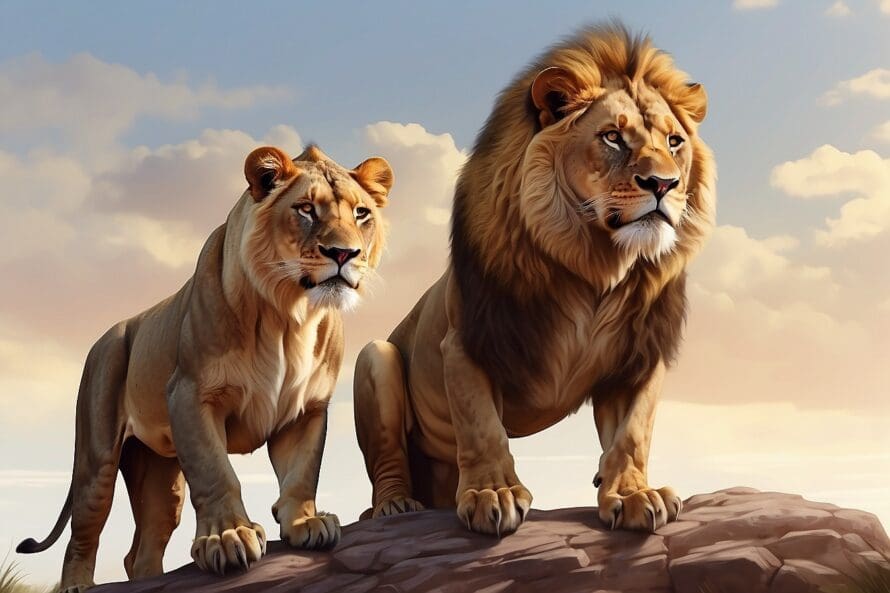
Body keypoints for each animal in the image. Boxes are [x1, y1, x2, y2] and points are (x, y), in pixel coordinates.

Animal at [16, 145, 394, 592]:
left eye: (361, 213)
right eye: (305, 209)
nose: (344, 254)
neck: (290, 317)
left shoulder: (307, 410)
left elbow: (303, 470)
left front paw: (306, 522)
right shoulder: (190, 394)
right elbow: (216, 471)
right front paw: (228, 537)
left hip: (160, 477)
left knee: (140, 550)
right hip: (97, 457)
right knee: (85, 528)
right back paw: (77, 583)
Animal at [354, 24, 715, 536]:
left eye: (675, 142)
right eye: (612, 138)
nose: (663, 184)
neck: (596, 265)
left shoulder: (641, 356)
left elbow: (633, 432)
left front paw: (631, 494)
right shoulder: (467, 341)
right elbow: (482, 426)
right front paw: (493, 493)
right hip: (375, 357)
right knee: (388, 461)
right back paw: (397, 507)